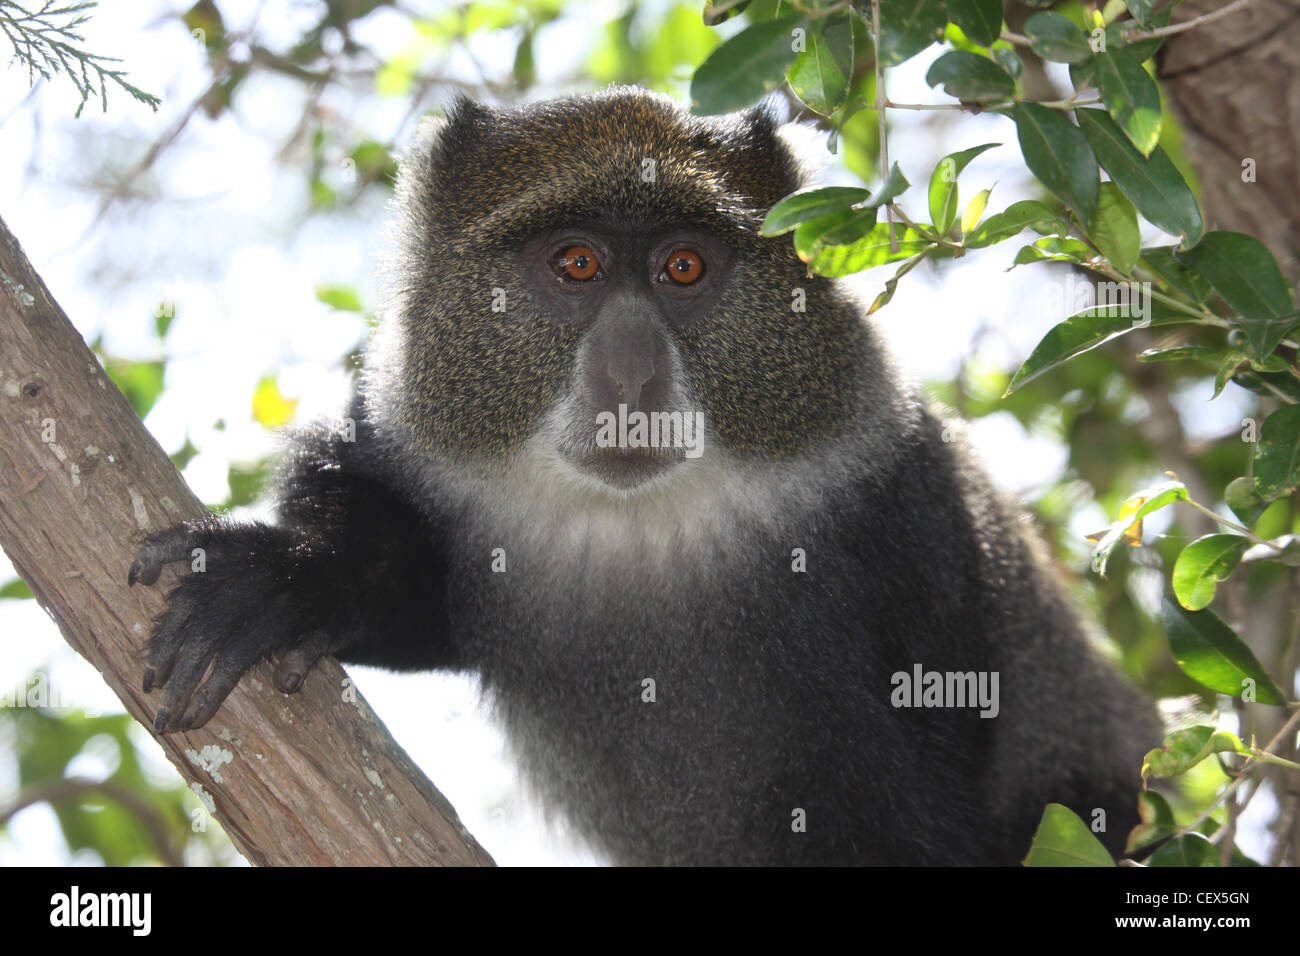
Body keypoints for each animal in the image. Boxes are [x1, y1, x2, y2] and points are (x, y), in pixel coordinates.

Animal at [128, 87, 1159, 866]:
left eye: (684, 266)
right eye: (577, 263)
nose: (629, 370)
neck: (641, 525)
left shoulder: (911, 517)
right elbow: (414, 594)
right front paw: (299, 577)